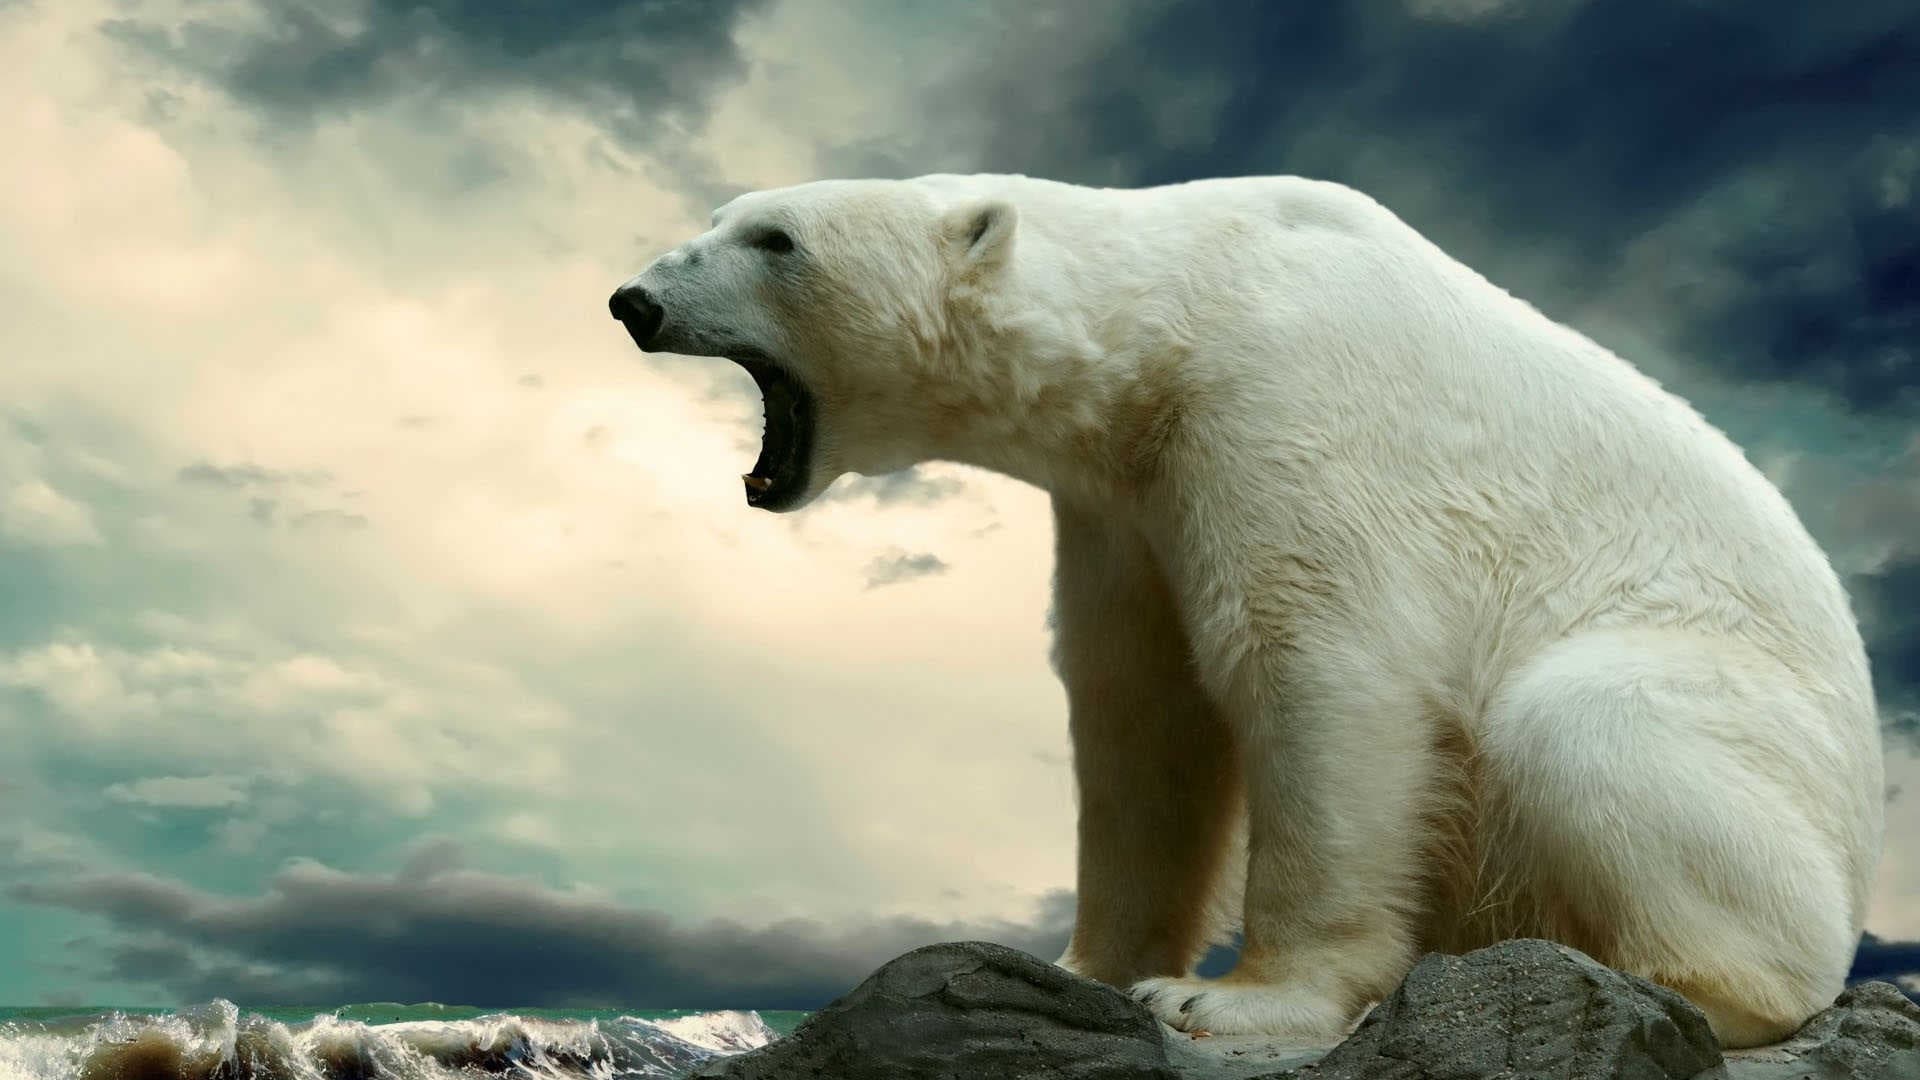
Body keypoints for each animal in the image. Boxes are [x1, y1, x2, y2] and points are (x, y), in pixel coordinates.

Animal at [608, 172, 1885, 1049]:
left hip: (1734, 717)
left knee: (1586, 723)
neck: (1178, 309)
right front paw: (1080, 965)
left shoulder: (1284, 407)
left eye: (776, 239)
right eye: (726, 215)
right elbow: (1140, 713)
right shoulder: (1127, 497)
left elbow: (1320, 668)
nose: (632, 299)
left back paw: (1674, 988)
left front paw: (1233, 1000)